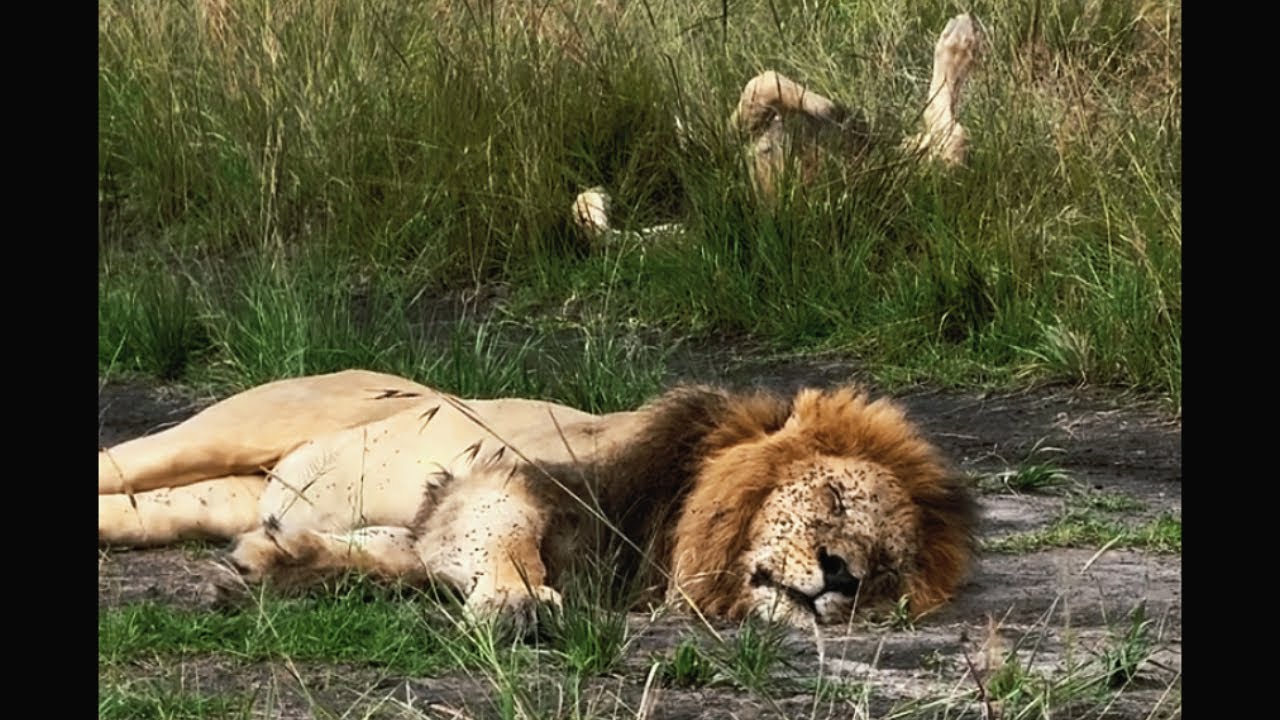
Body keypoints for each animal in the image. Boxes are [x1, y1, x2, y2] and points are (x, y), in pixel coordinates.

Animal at [99, 369, 976, 628]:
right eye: (830, 498)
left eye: (887, 567)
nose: (841, 575)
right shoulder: (507, 479)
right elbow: (508, 542)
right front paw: (521, 604)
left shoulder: (425, 525)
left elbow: (382, 558)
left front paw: (270, 567)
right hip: (221, 431)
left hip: (217, 495)